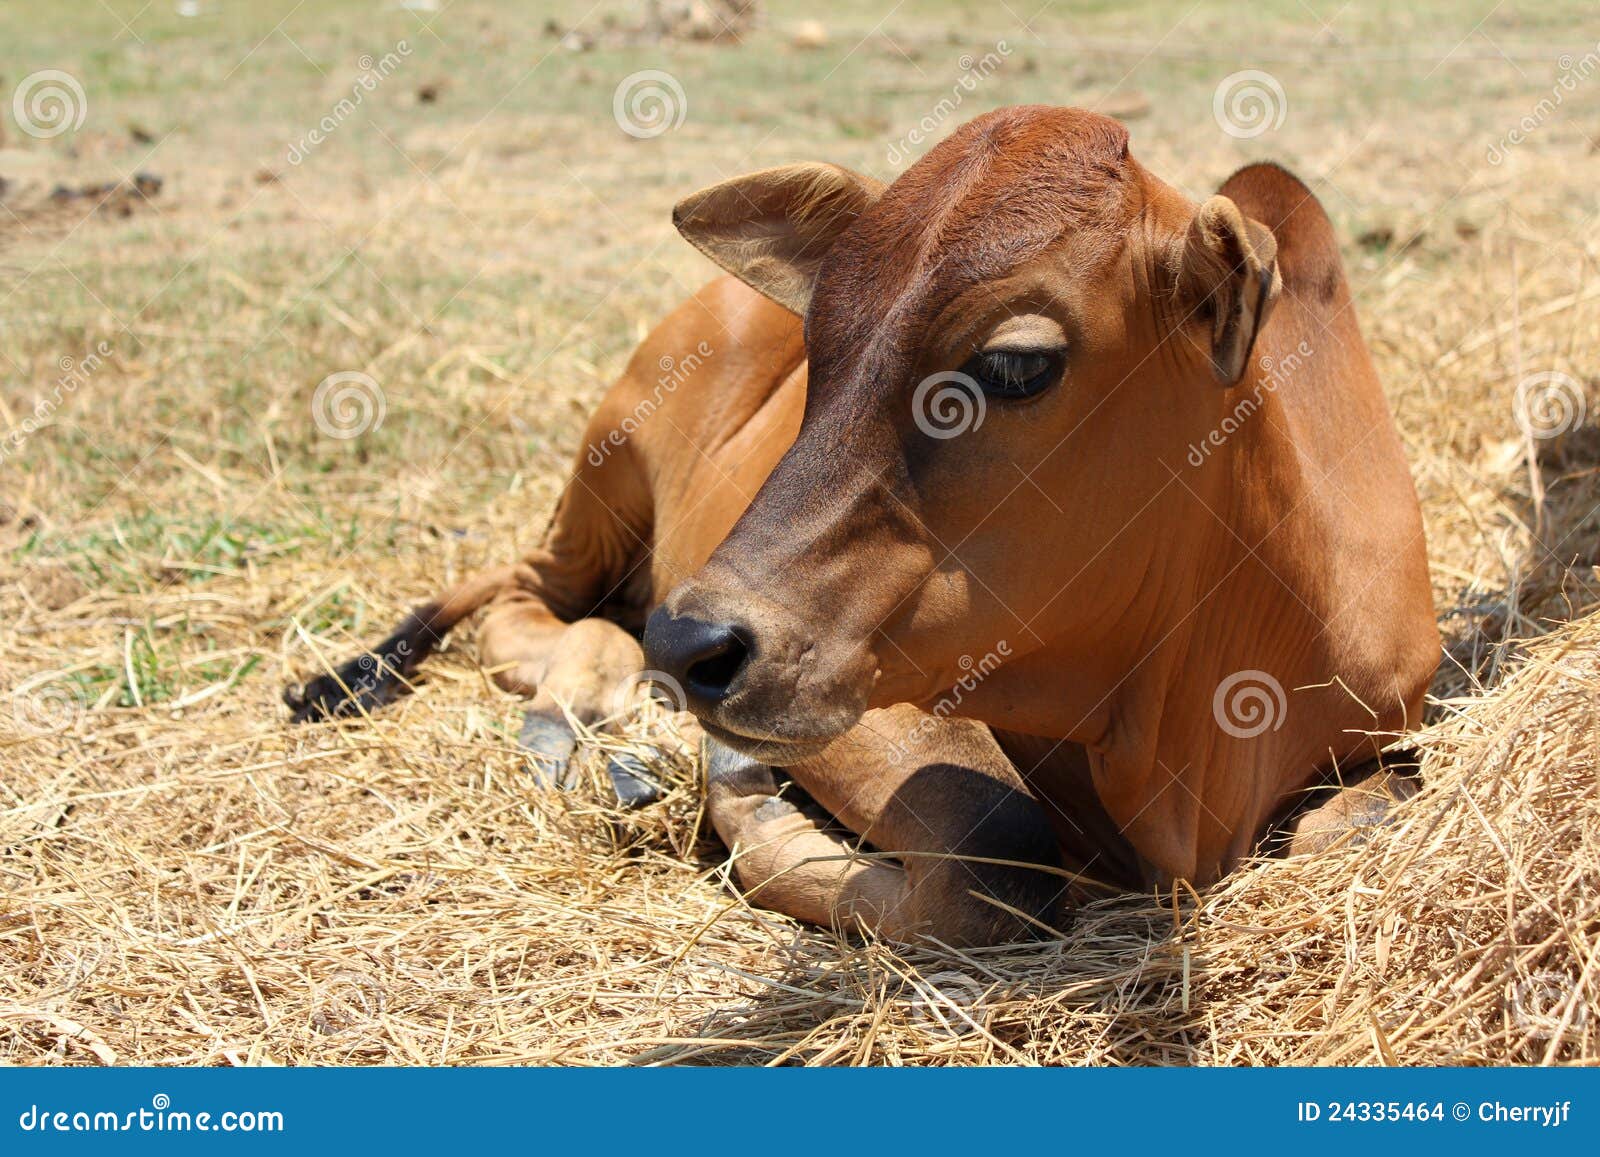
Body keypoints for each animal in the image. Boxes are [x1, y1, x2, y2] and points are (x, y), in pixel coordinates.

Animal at [286, 106, 1439, 947]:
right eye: (819, 340)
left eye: (1015, 363)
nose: (693, 641)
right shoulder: (865, 689)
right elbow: (994, 848)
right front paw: (742, 796)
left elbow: (1372, 808)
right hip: (605, 475)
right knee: (528, 598)